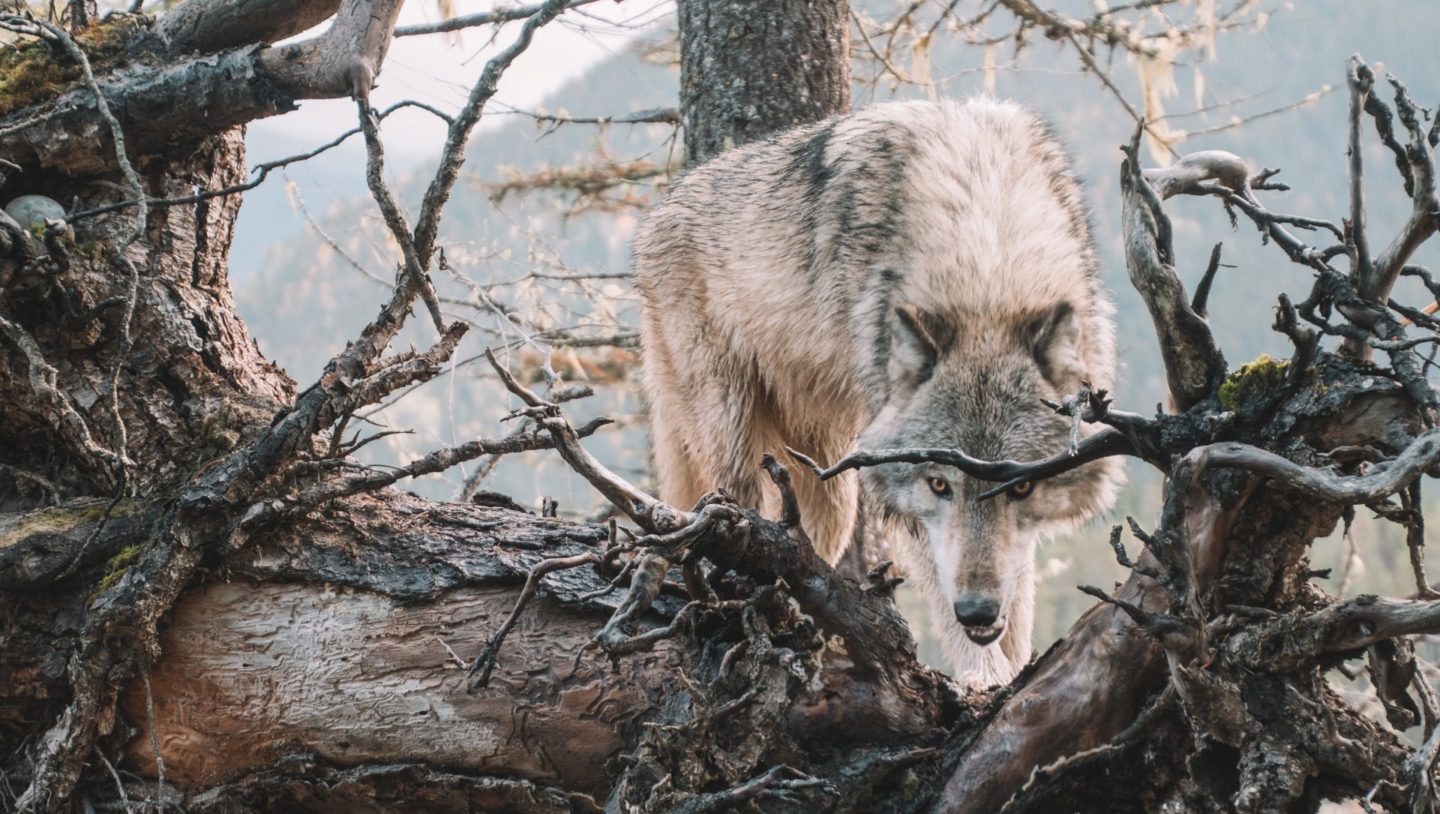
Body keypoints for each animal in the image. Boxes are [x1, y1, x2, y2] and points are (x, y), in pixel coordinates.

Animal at [633, 98, 1122, 686]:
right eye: (938, 484)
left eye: (1021, 487)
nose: (978, 612)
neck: (988, 261)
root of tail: (658, 212)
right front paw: (984, 678)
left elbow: (1020, 586)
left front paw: (1016, 666)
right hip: (737, 447)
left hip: (829, 488)